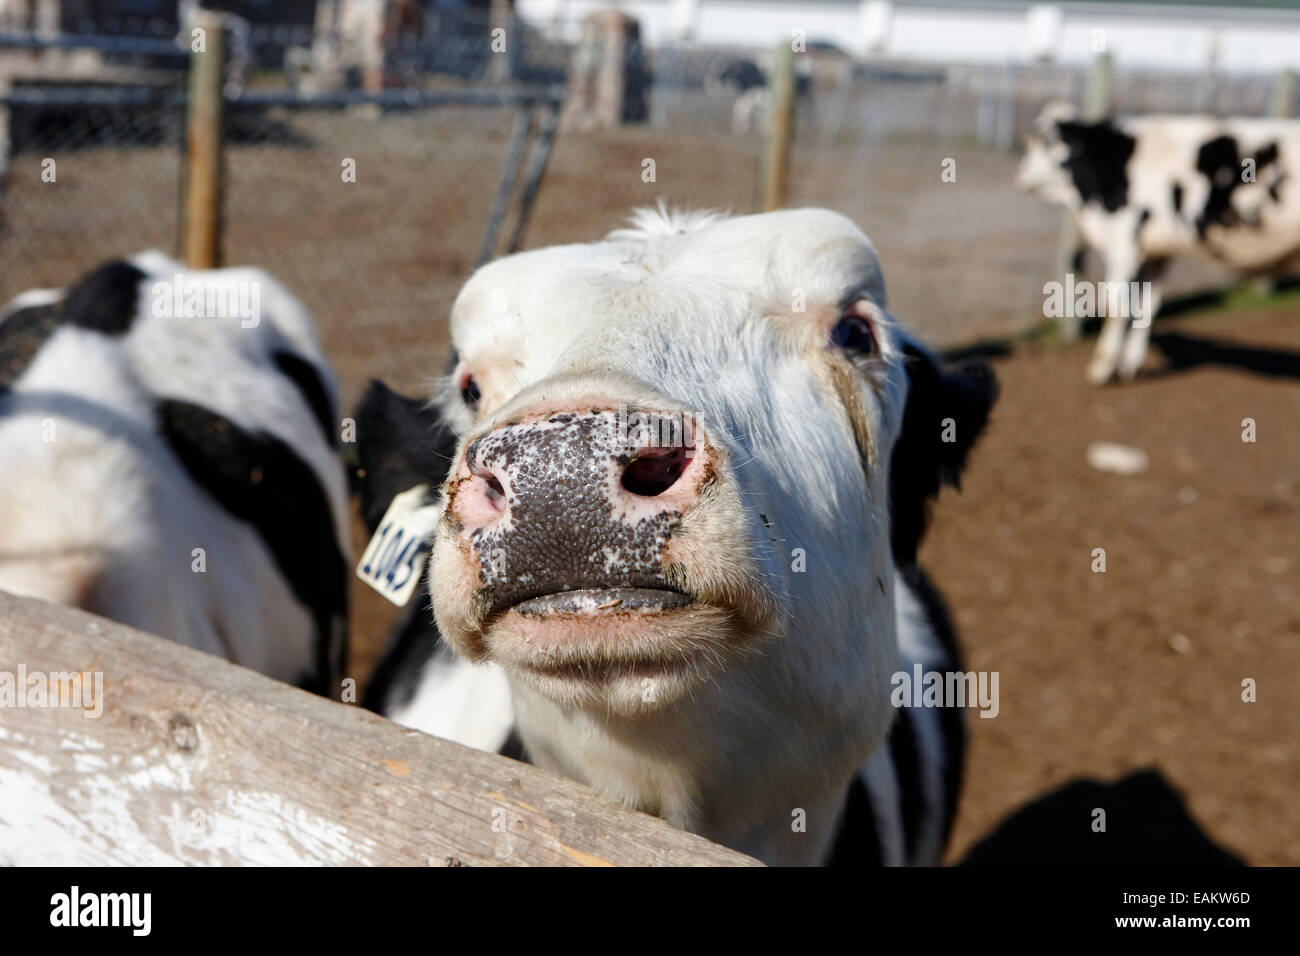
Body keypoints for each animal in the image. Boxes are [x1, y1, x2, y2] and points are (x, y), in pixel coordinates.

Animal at [1016, 102, 1300, 384]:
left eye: (1034, 144)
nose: (1020, 176)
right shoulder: (1156, 252)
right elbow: (1147, 307)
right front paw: (1130, 366)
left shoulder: (1124, 241)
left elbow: (1116, 305)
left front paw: (1102, 369)